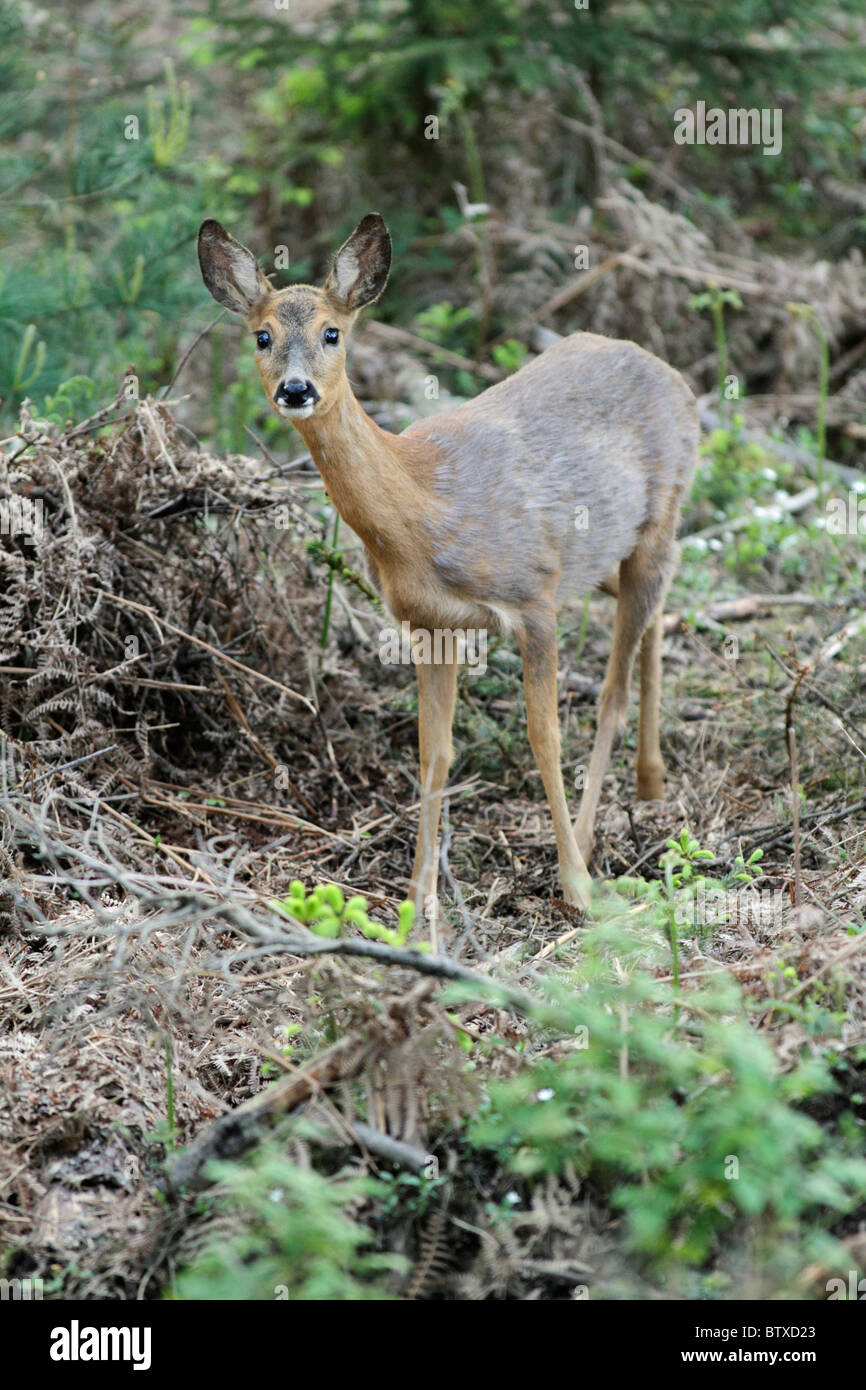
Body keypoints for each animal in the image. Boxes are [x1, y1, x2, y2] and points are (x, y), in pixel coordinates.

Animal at [197, 213, 699, 916]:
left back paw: (591, 836)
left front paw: (574, 884)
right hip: (614, 554)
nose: (296, 390)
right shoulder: (430, 624)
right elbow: (434, 753)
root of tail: (667, 369)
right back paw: (651, 781)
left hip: (658, 516)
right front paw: (418, 900)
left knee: (613, 691)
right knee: (658, 612)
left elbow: (544, 738)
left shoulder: (533, 597)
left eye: (332, 332)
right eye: (262, 335)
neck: (423, 505)